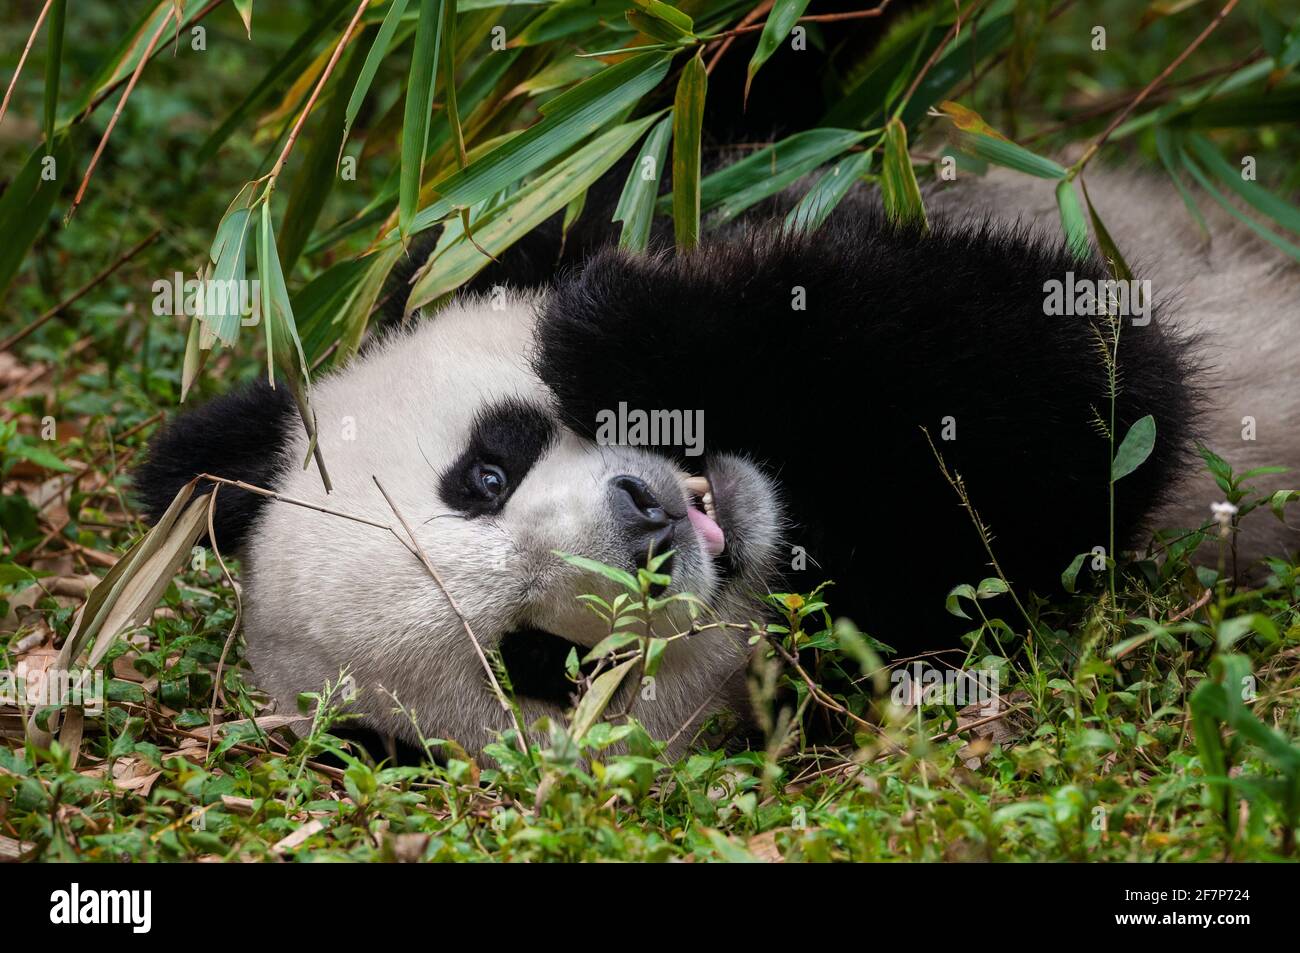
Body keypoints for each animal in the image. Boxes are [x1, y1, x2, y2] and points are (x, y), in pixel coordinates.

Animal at [133, 166, 1299, 759]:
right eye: (540, 661)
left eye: (484, 475)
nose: (645, 521)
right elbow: (1082, 398)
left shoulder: (532, 224)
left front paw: (604, 332)